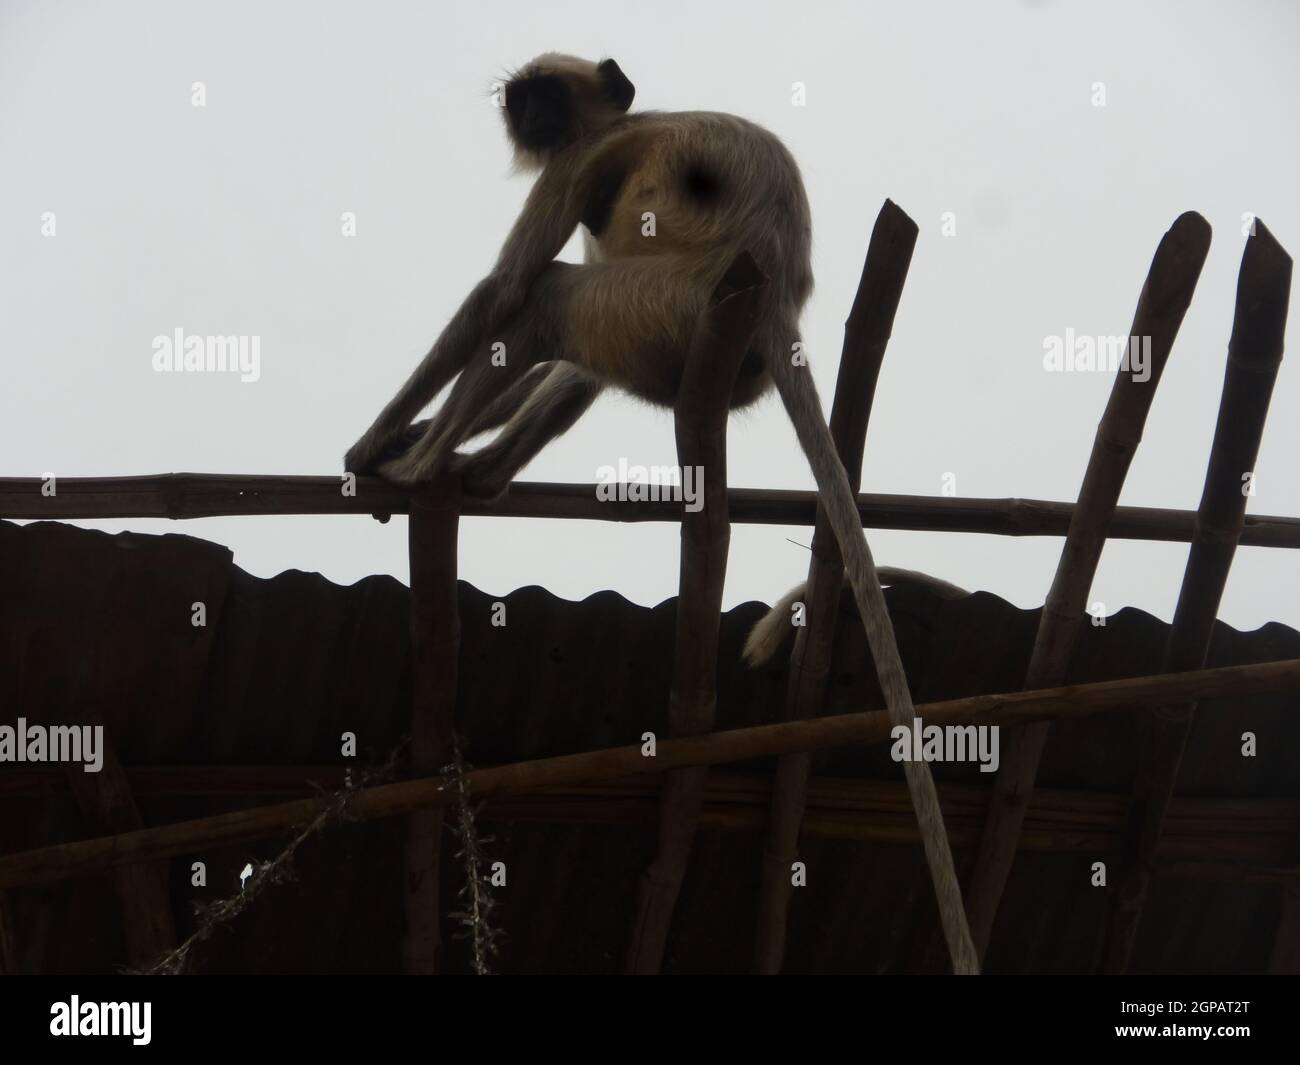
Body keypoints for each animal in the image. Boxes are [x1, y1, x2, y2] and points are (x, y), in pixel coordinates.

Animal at [342, 53, 979, 973]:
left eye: (545, 98)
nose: (530, 116)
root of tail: (775, 310)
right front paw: (413, 438)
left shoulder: (585, 159)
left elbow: (500, 294)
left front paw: (376, 444)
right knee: (574, 360)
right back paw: (477, 472)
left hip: (667, 308)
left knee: (546, 301)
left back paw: (426, 469)